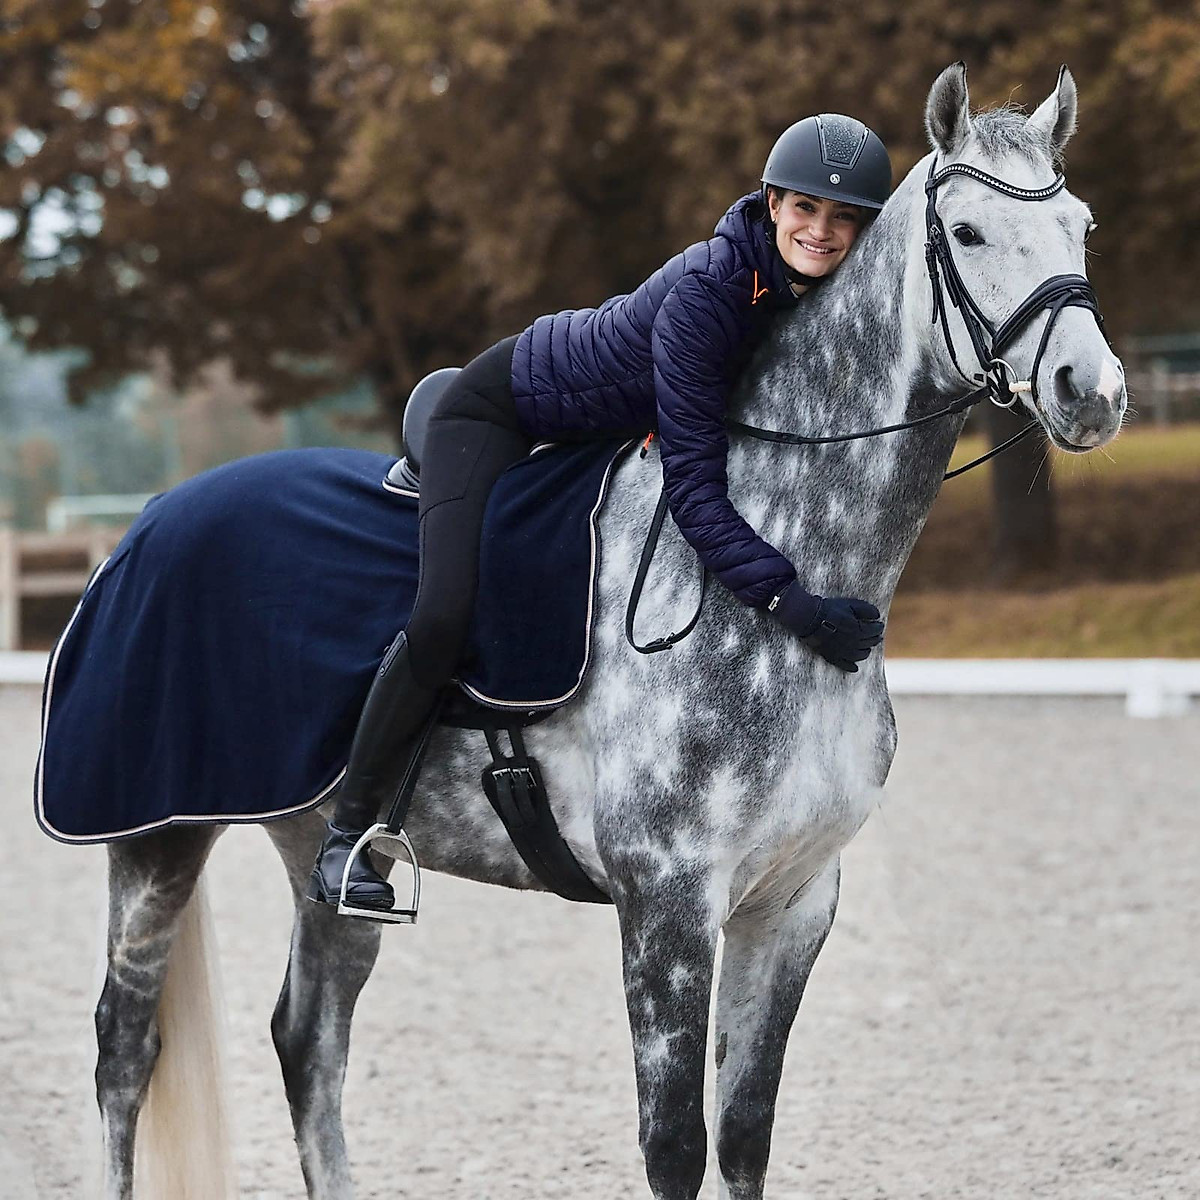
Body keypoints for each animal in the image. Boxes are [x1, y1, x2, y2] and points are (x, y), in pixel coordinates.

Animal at [86, 63, 1125, 1199]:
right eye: (969, 233)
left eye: (1079, 225)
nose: (1093, 392)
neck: (775, 594)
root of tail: (148, 523)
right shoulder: (667, 903)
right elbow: (674, 1146)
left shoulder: (792, 901)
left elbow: (745, 1134)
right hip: (154, 841)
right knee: (124, 1050)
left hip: (314, 854)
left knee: (308, 1041)